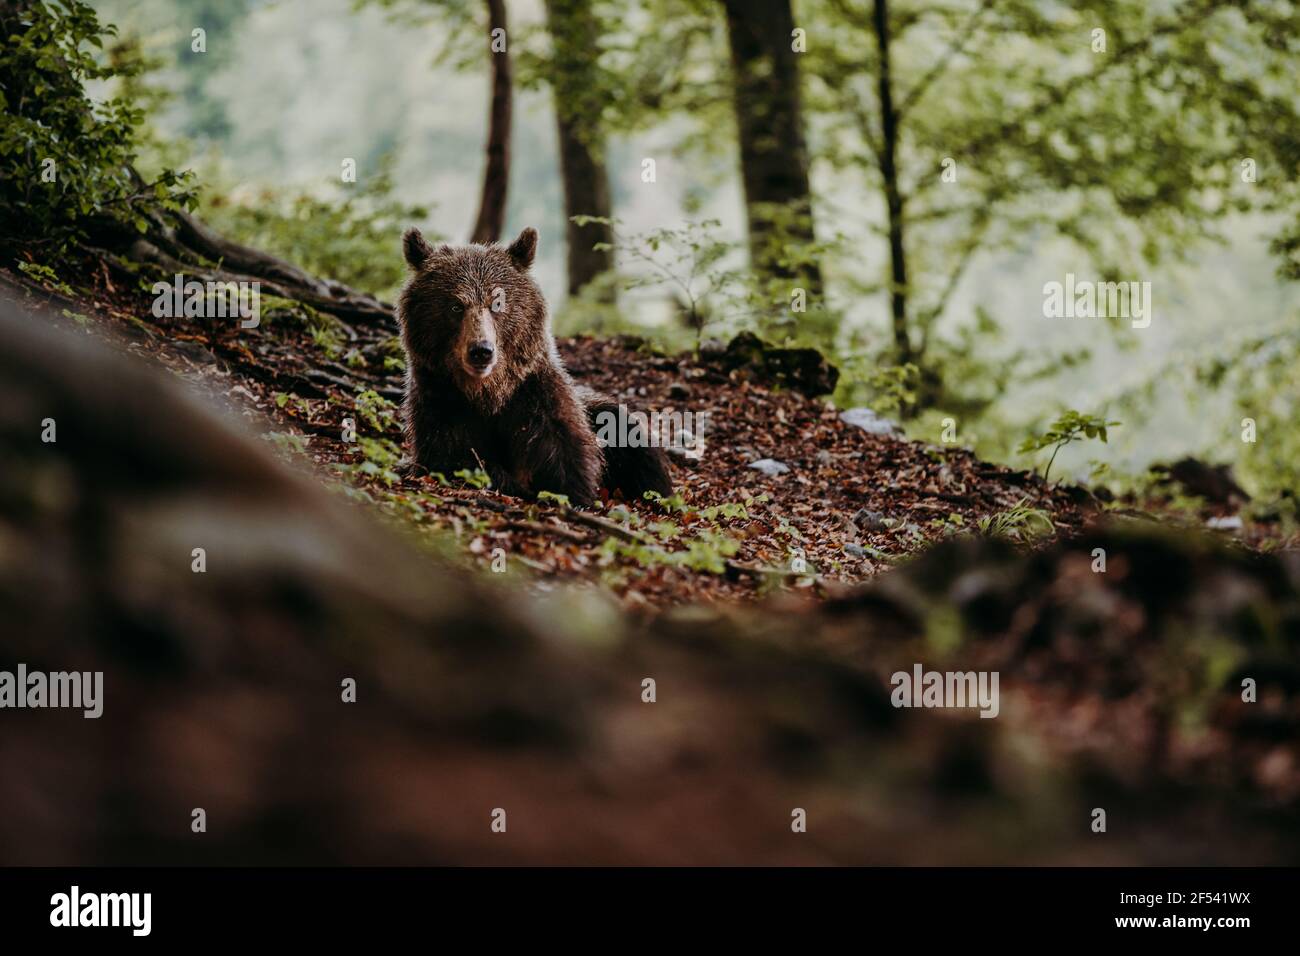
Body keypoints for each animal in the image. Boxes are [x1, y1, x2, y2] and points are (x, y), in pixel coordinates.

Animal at [395, 225, 673, 506]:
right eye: (455, 306)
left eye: (497, 303)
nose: (481, 351)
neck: (490, 393)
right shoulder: (441, 403)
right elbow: (455, 457)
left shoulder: (535, 398)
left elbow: (564, 459)